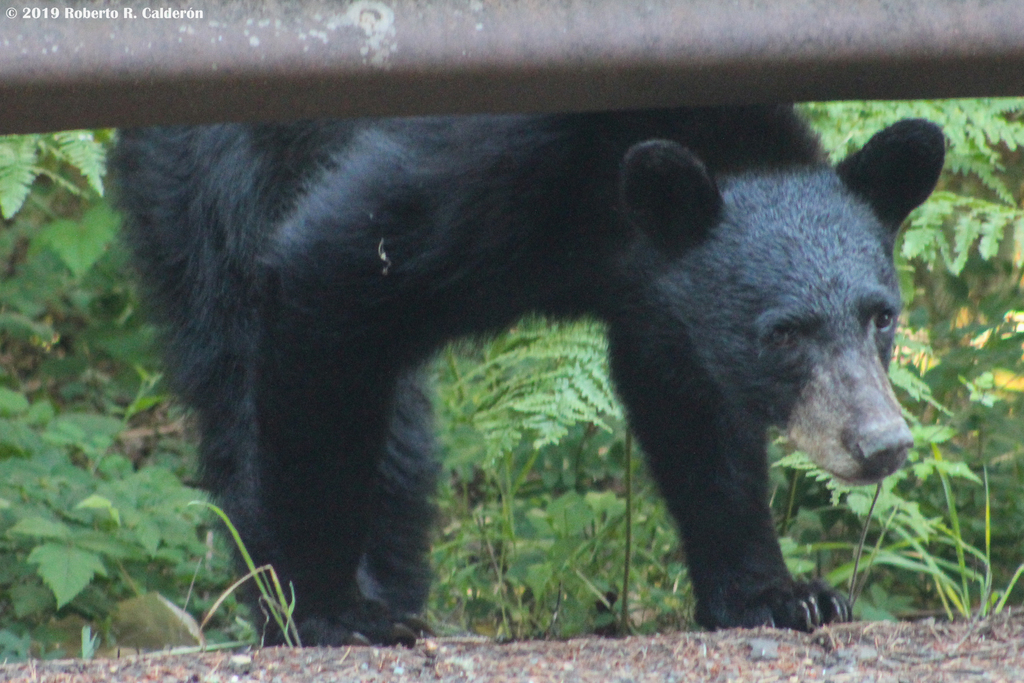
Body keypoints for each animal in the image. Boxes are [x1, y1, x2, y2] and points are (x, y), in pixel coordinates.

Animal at [111, 105, 945, 645]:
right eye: (784, 332)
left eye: (882, 315)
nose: (880, 442)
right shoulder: (486, 171)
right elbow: (326, 274)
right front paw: (328, 609)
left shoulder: (658, 299)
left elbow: (697, 417)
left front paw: (780, 595)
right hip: (216, 176)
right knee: (237, 369)